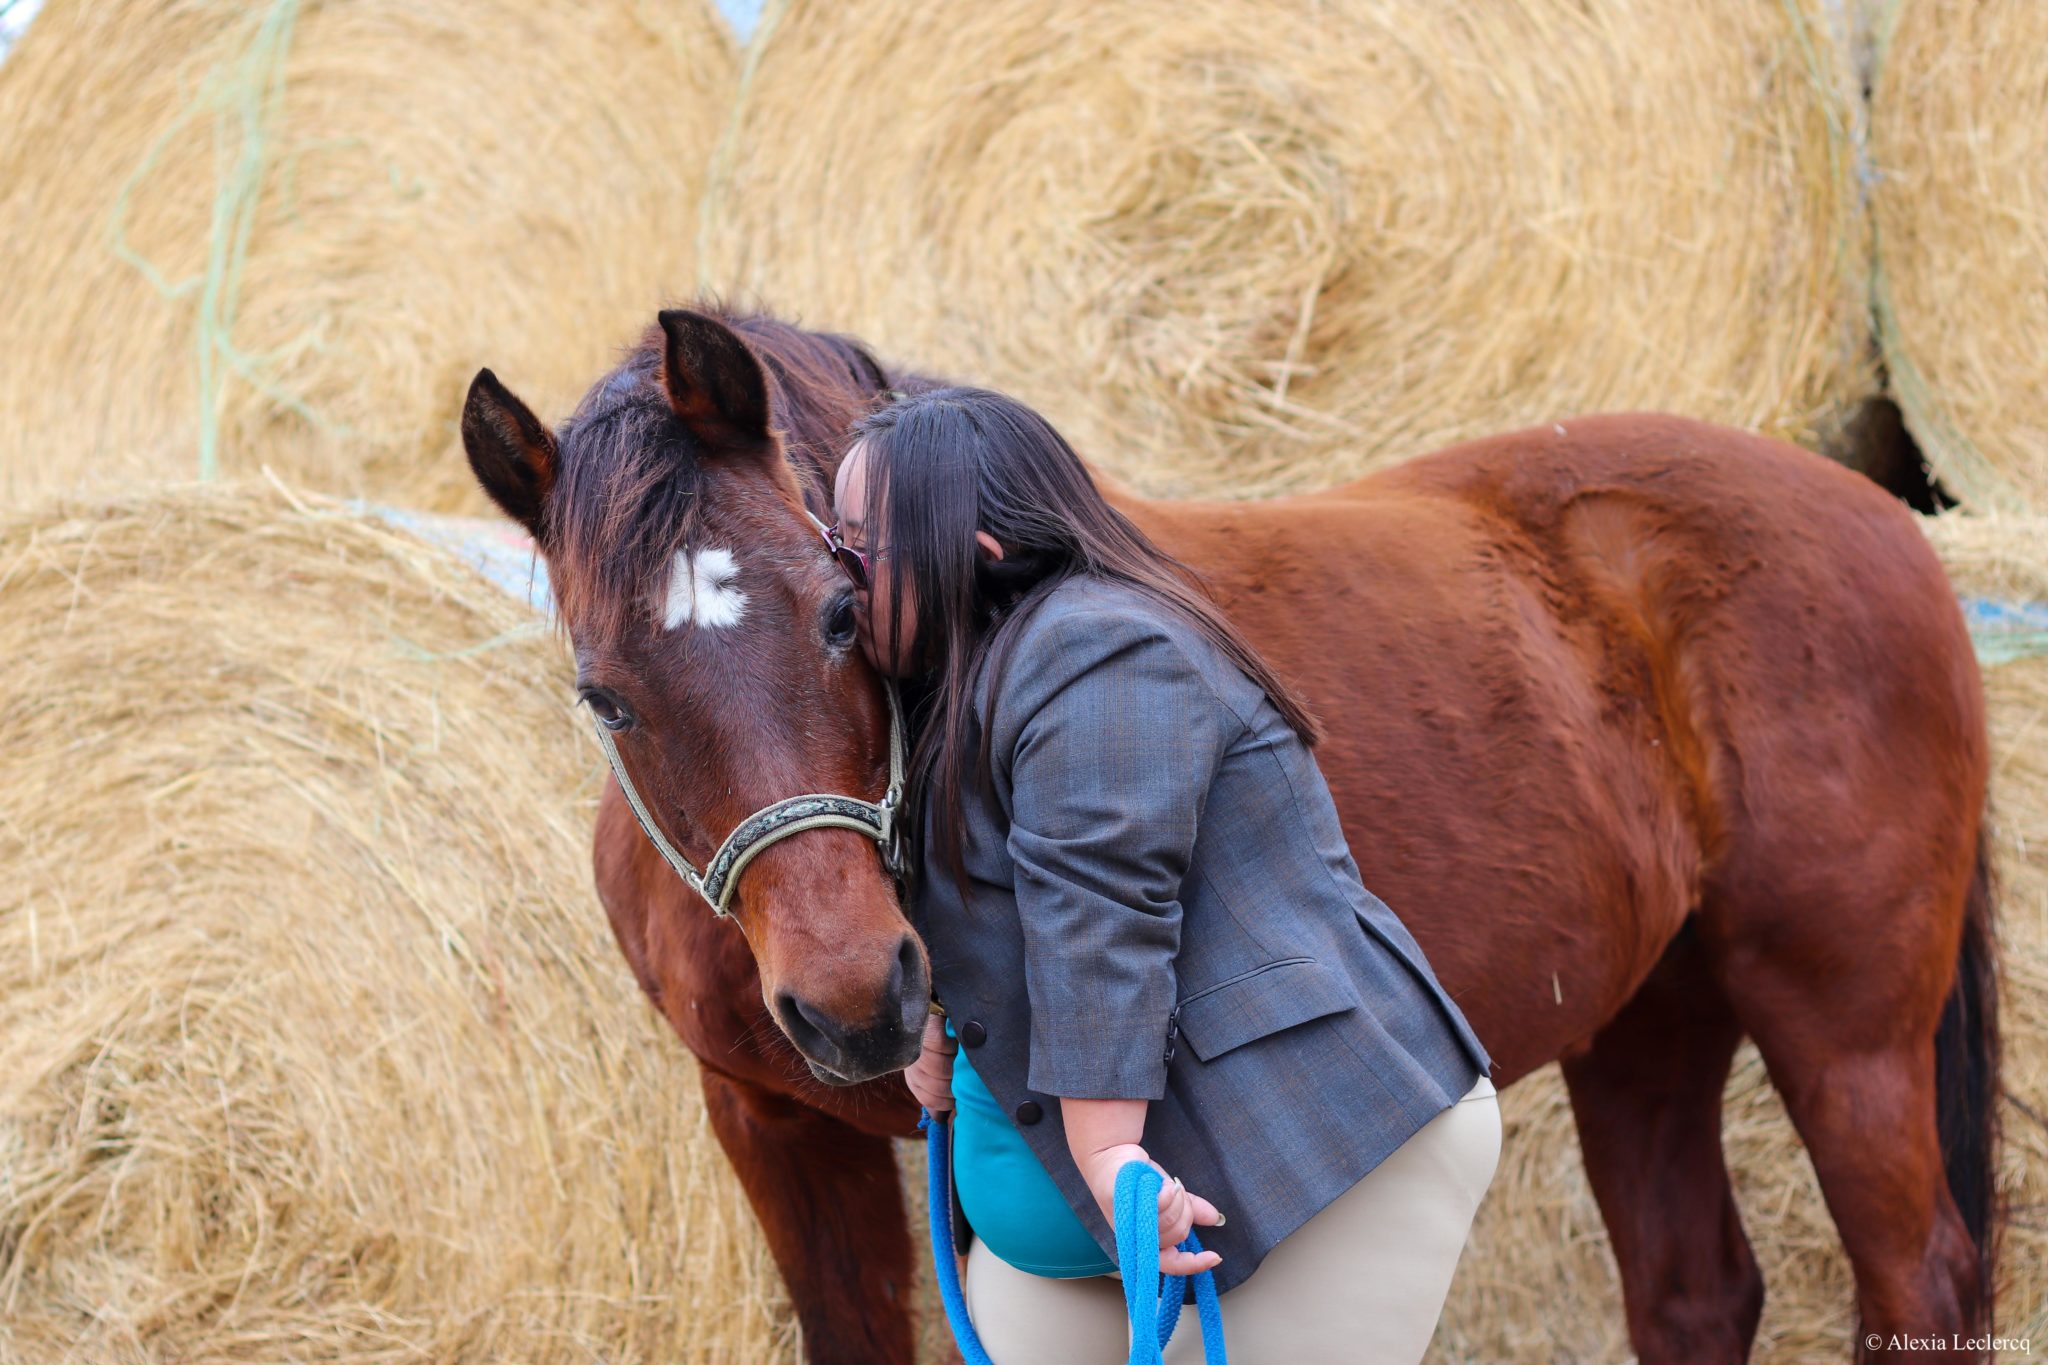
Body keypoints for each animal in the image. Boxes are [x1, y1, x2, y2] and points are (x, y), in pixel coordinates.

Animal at [459, 303, 2000, 1364]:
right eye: (604, 691)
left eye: (842, 612)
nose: (854, 997)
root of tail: (1884, 522)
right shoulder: (776, 1129)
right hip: (1649, 1018)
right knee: (1694, 1291)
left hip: (1845, 1034)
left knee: (1917, 1274)